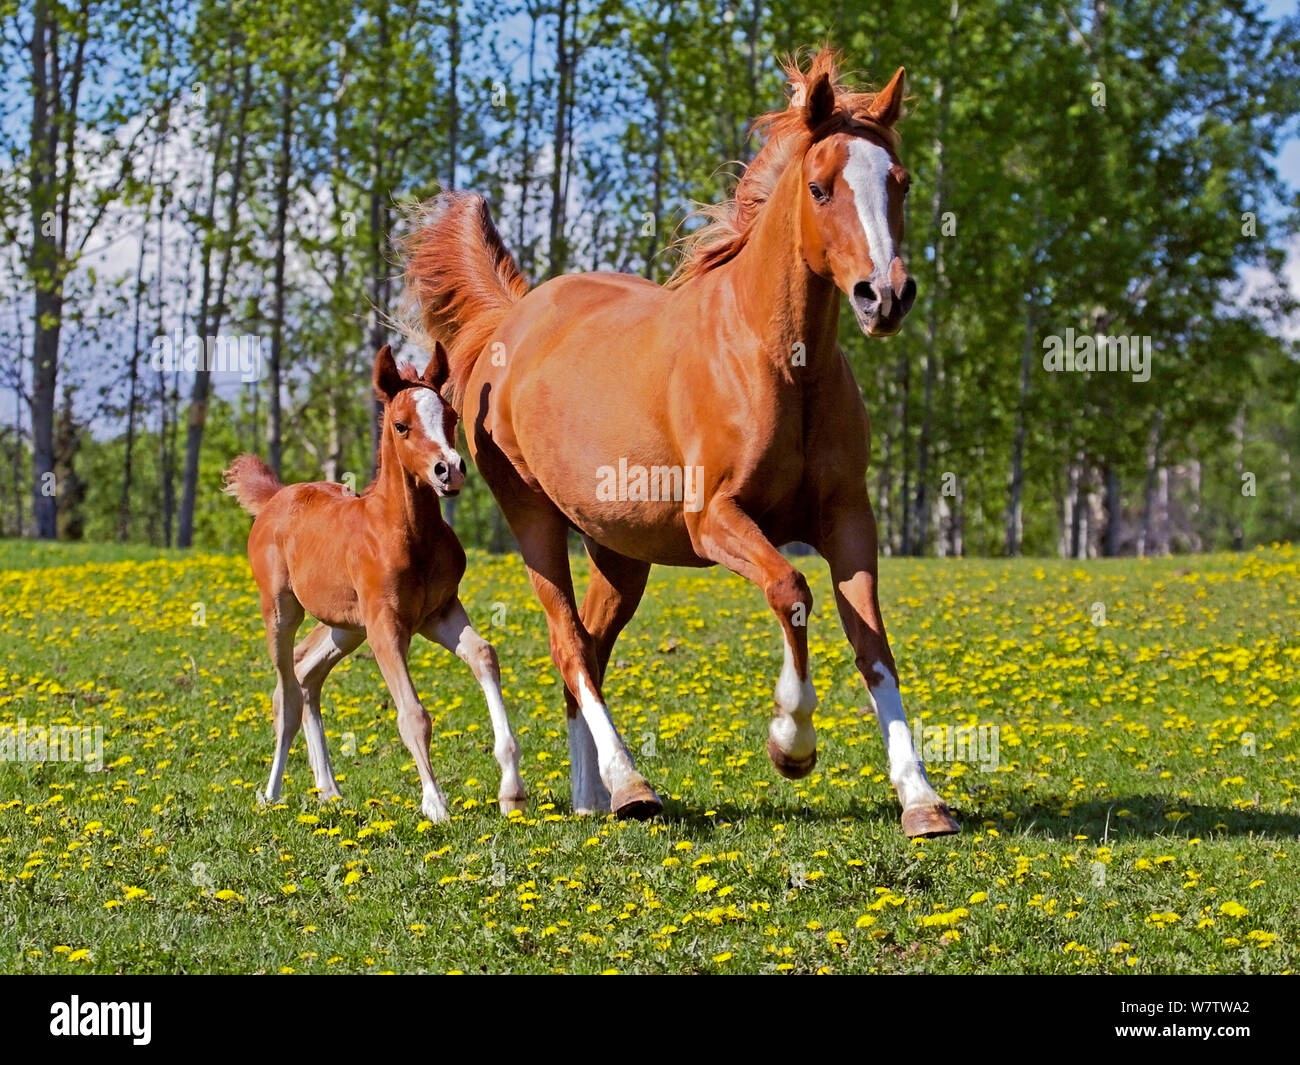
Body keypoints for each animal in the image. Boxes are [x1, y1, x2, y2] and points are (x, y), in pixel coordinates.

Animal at [223, 343, 526, 823]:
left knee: (307, 675)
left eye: (450, 417)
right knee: (285, 693)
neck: (406, 533)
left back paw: (329, 790)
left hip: (345, 627)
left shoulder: (440, 613)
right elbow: (413, 715)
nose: (449, 470)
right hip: (282, 610)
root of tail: (276, 497)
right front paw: (435, 803)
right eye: (402, 425)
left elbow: (484, 655)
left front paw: (512, 791)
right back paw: (271, 793)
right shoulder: (387, 627)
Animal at [401, 49, 958, 837]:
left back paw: (592, 795)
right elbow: (790, 590)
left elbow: (872, 643)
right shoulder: (715, 519)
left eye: (900, 182)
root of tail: (510, 320)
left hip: (620, 552)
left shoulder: (850, 519)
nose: (885, 296)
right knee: (568, 644)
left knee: (589, 650)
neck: (779, 364)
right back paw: (630, 784)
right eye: (820, 187)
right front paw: (791, 743)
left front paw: (920, 797)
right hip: (535, 523)